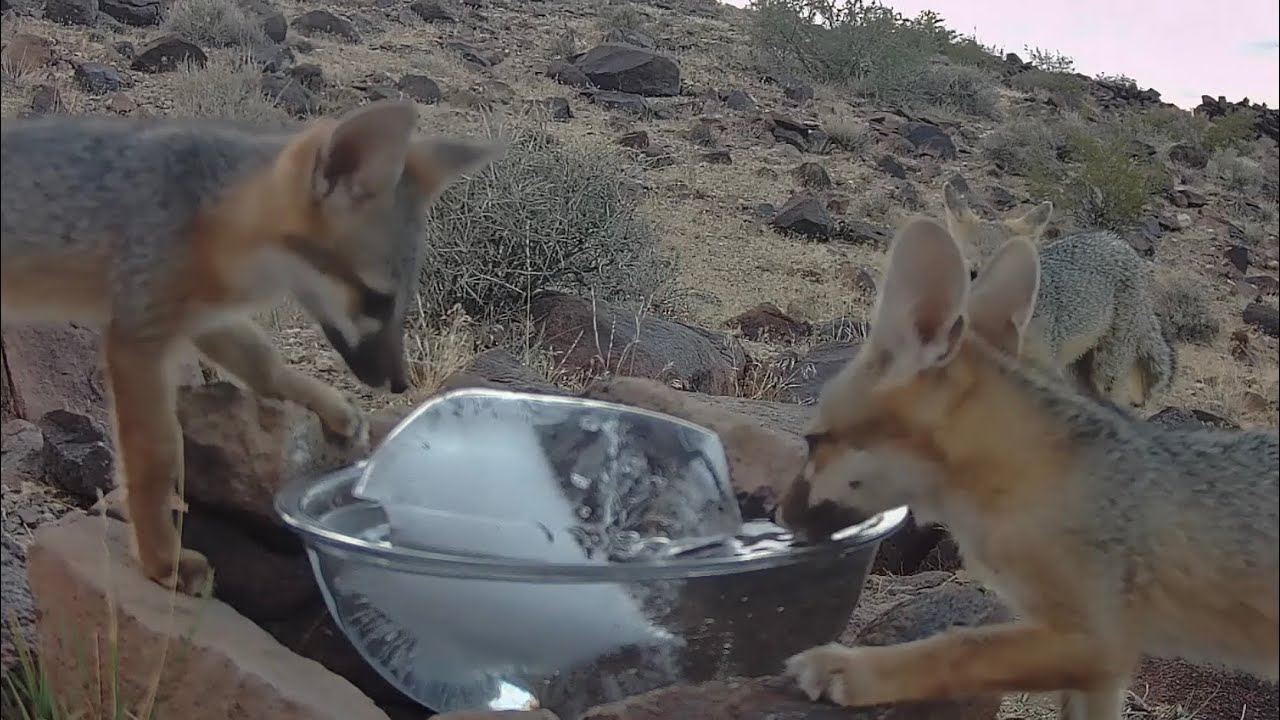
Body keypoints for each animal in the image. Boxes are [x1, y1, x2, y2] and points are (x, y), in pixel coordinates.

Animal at [1, 99, 503, 595]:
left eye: (404, 300)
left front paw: (330, 405)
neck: (213, 216)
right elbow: (156, 458)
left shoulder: (205, 318)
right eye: (377, 300)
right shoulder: (136, 337)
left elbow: (264, 364)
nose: (399, 384)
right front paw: (161, 560)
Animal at [777, 216, 1279, 719]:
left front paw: (851, 670)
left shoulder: (1099, 642)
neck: (1022, 474)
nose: (779, 515)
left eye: (813, 441)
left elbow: (959, 648)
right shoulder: (1098, 674)